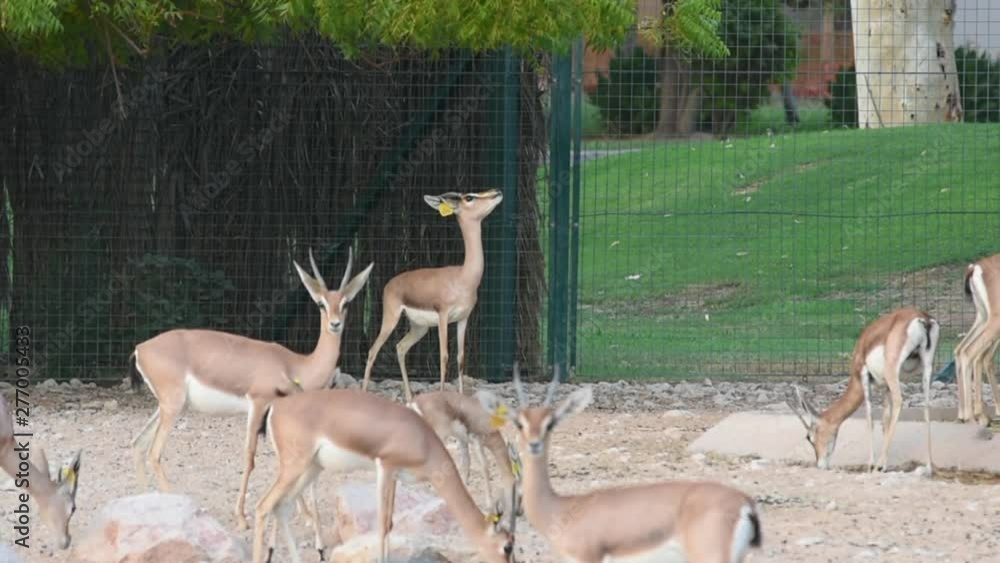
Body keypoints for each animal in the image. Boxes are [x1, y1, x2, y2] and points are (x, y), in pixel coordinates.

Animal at [128, 247, 373, 530]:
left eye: (346, 303)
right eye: (321, 303)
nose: (335, 324)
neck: (294, 364)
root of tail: (141, 348)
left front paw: (307, 516)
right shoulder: (258, 404)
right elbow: (250, 456)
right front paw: (242, 518)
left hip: (166, 406)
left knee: (138, 443)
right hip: (173, 407)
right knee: (155, 452)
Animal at [361, 189, 504, 402]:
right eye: (469, 197)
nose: (497, 192)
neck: (463, 278)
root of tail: (390, 283)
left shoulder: (463, 318)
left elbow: (460, 358)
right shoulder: (443, 315)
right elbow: (444, 357)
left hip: (419, 327)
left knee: (400, 347)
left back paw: (410, 397)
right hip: (391, 319)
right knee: (373, 350)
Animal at [407, 389, 523, 518]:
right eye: (520, 493)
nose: (519, 512)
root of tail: (414, 403)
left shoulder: (463, 441)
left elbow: (466, 465)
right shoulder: (477, 440)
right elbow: (484, 466)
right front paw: (489, 505)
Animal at [789, 307, 940, 473]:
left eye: (809, 437)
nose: (820, 465)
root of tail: (923, 318)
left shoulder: (864, 375)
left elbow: (870, 419)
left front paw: (872, 465)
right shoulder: (885, 386)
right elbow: (885, 420)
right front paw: (884, 465)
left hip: (893, 369)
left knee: (899, 401)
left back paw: (878, 465)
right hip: (927, 367)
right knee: (926, 409)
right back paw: (928, 467)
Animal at [953, 253, 1000, 426]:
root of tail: (975, 268)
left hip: (982, 317)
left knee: (961, 350)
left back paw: (964, 414)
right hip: (994, 322)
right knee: (972, 353)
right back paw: (974, 416)